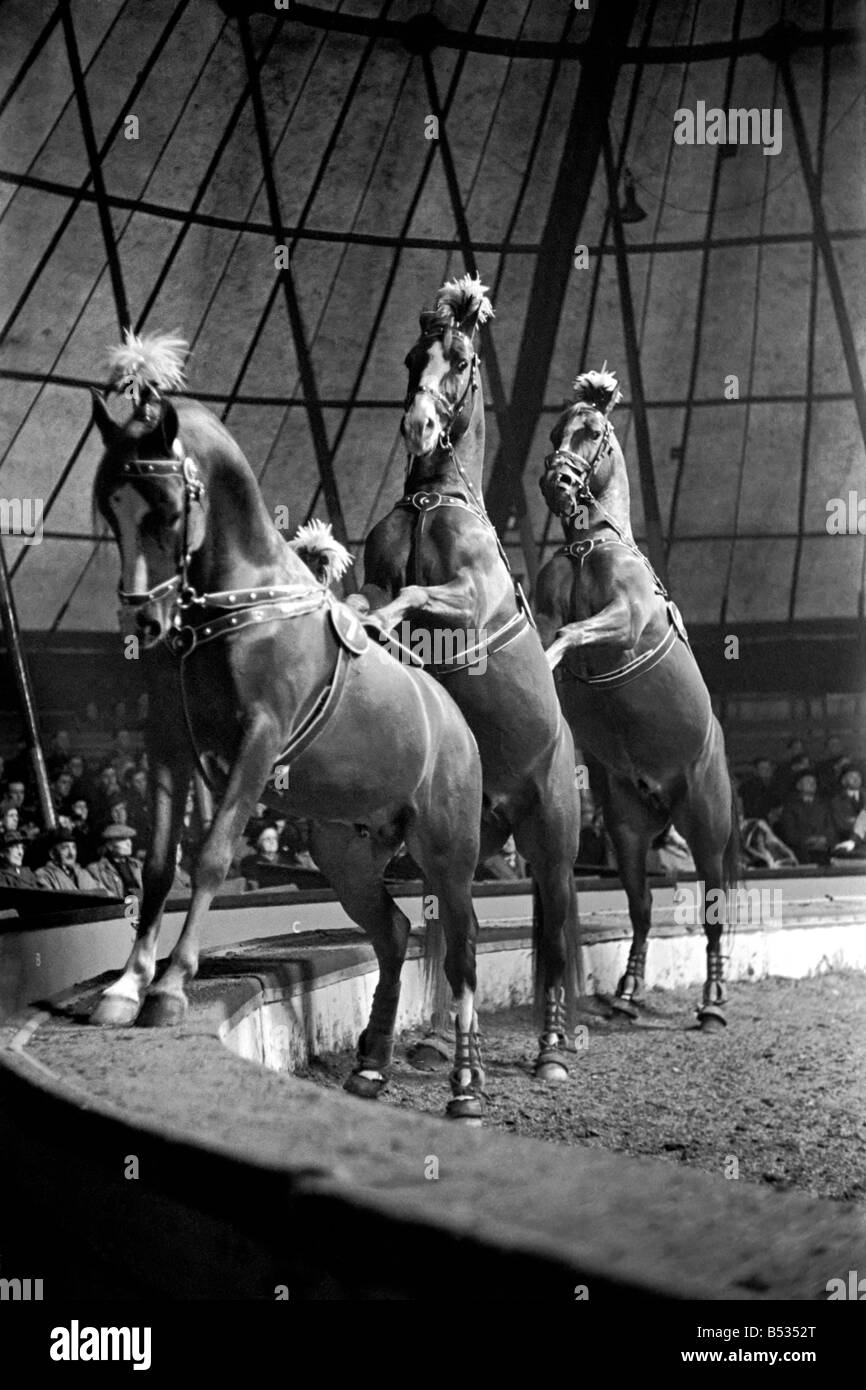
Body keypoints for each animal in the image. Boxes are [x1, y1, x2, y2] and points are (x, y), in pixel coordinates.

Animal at [86, 331, 489, 1120]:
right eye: (109, 509)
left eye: (165, 509)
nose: (143, 623)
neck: (243, 604)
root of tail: (456, 724)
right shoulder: (169, 748)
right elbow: (158, 866)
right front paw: (124, 986)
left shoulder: (258, 741)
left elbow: (212, 854)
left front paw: (169, 988)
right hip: (346, 853)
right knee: (395, 933)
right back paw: (370, 1066)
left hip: (449, 856)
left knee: (459, 954)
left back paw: (462, 1087)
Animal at [347, 275, 582, 1079]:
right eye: (411, 357)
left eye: (462, 360)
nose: (419, 426)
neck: (432, 502)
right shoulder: (378, 576)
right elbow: (371, 596)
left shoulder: (468, 604)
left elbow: (414, 597)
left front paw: (383, 636)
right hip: (474, 836)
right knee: (462, 922)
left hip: (552, 844)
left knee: (554, 935)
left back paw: (551, 1049)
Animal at [534, 368, 738, 1030]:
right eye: (556, 432)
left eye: (593, 433)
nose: (557, 483)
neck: (589, 546)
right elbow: (548, 629)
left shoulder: (623, 621)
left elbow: (572, 635)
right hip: (627, 829)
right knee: (643, 906)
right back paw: (626, 992)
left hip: (705, 823)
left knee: (713, 909)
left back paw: (711, 1002)